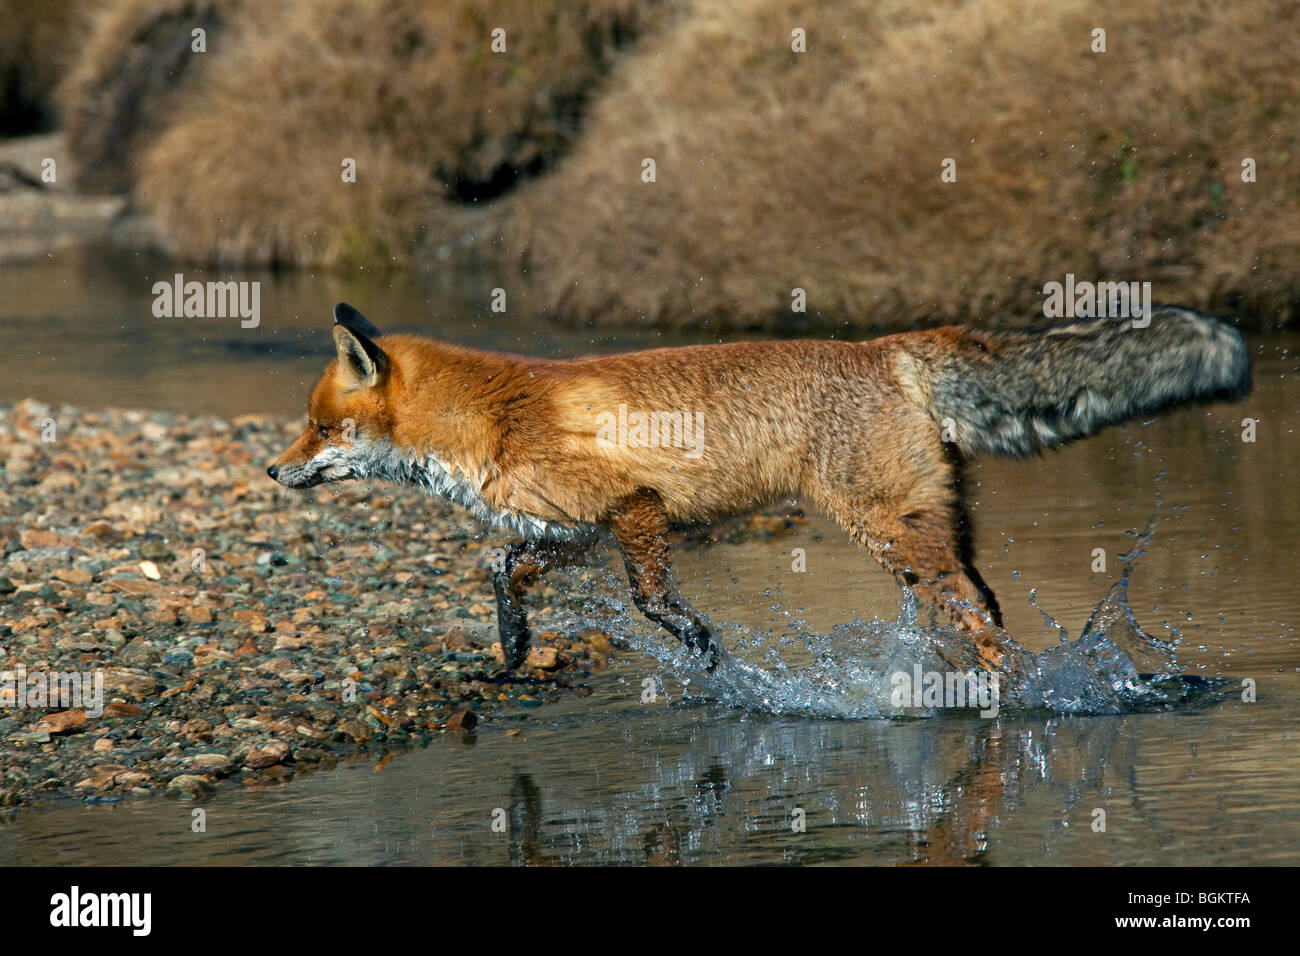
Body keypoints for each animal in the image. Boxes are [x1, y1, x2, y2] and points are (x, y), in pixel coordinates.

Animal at [268, 302, 1251, 675]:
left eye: (317, 427)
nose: (272, 471)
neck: (495, 418)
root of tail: (890, 346)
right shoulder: (571, 530)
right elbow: (501, 569)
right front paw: (512, 644)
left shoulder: (634, 507)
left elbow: (651, 600)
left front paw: (703, 647)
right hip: (930, 525)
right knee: (987, 602)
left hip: (888, 527)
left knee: (979, 615)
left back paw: (1013, 694)